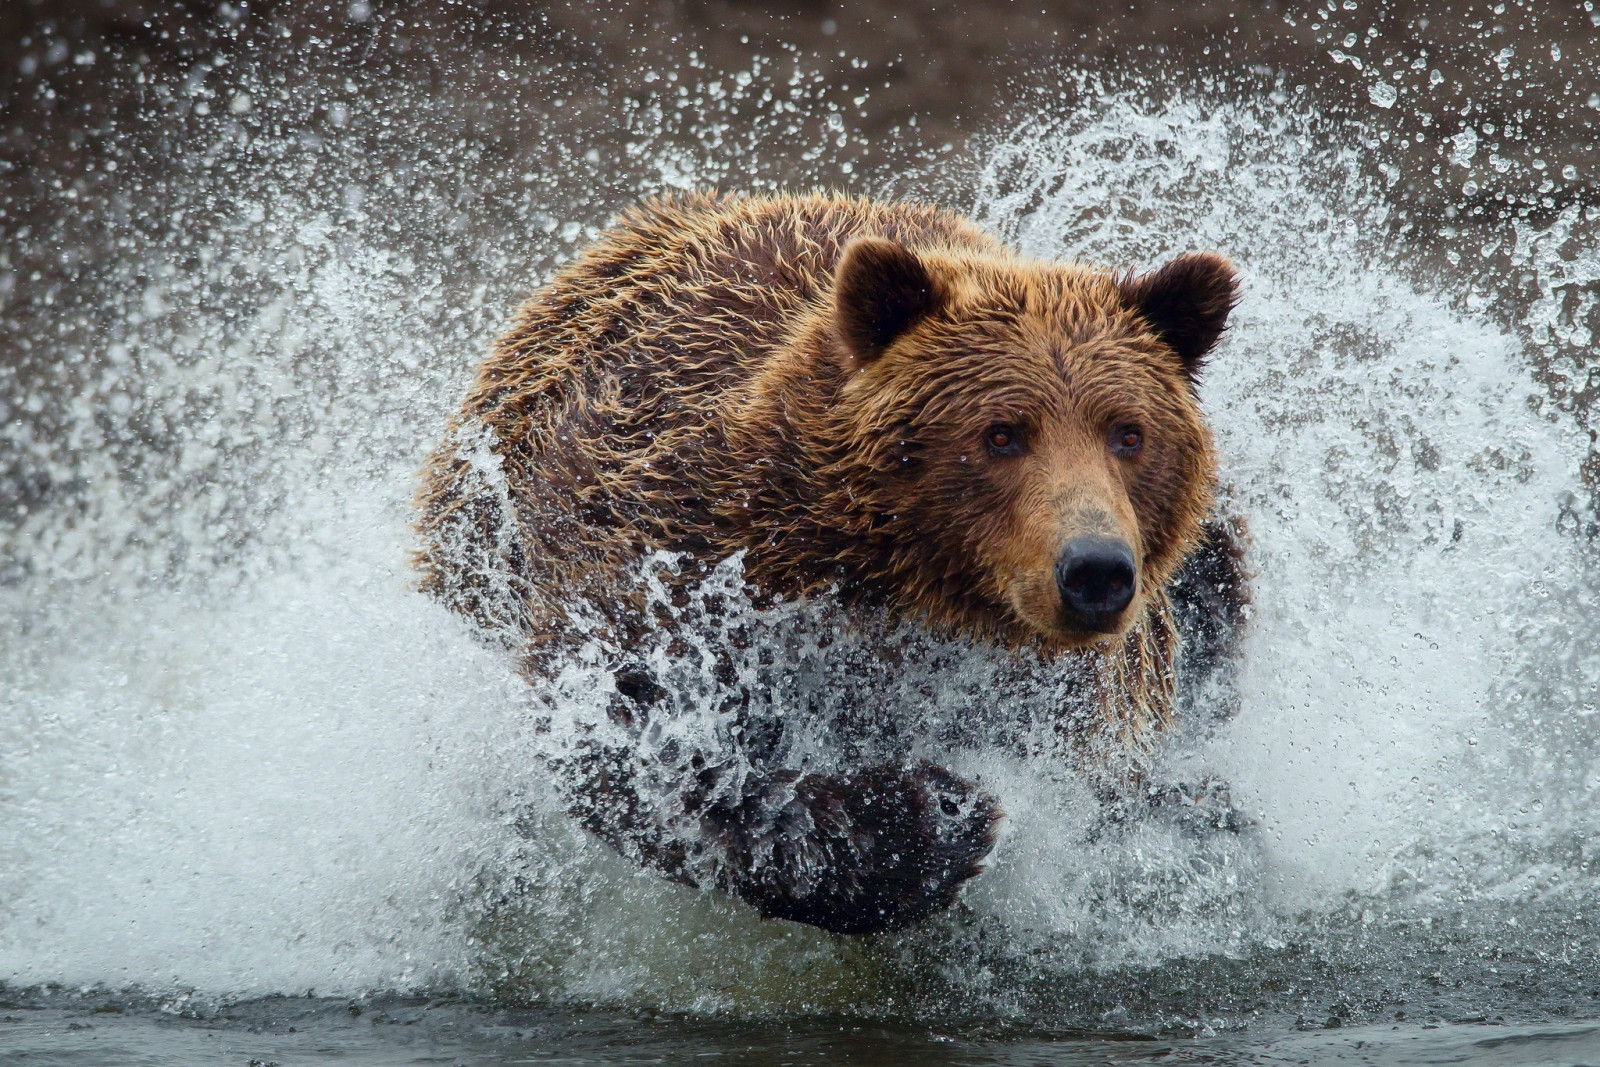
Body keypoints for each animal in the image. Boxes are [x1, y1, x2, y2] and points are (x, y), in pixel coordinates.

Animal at [415, 191, 1244, 935]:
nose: (1095, 570)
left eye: (1128, 432)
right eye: (1002, 432)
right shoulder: (679, 550)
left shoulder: (1074, 693)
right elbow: (636, 732)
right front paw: (930, 815)